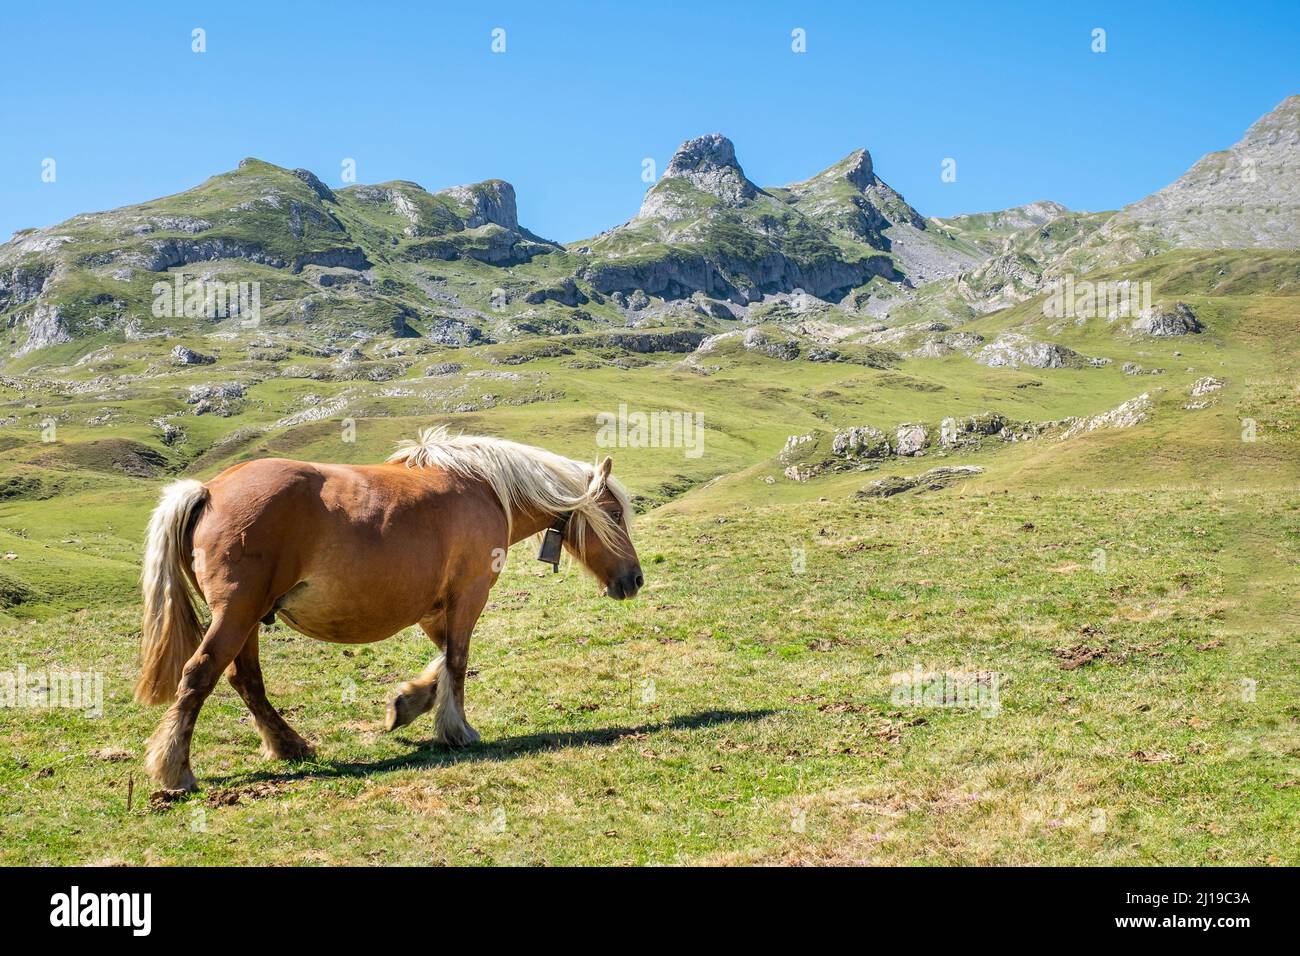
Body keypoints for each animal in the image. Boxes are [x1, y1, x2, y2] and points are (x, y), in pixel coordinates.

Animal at [135, 426, 643, 791]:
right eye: (615, 514)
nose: (634, 580)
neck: (485, 489)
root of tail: (208, 490)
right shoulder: (469, 595)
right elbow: (457, 661)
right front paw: (456, 729)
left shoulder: (434, 607)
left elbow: (441, 660)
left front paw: (407, 705)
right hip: (236, 614)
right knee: (199, 674)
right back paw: (176, 770)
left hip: (249, 619)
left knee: (245, 681)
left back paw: (289, 745)